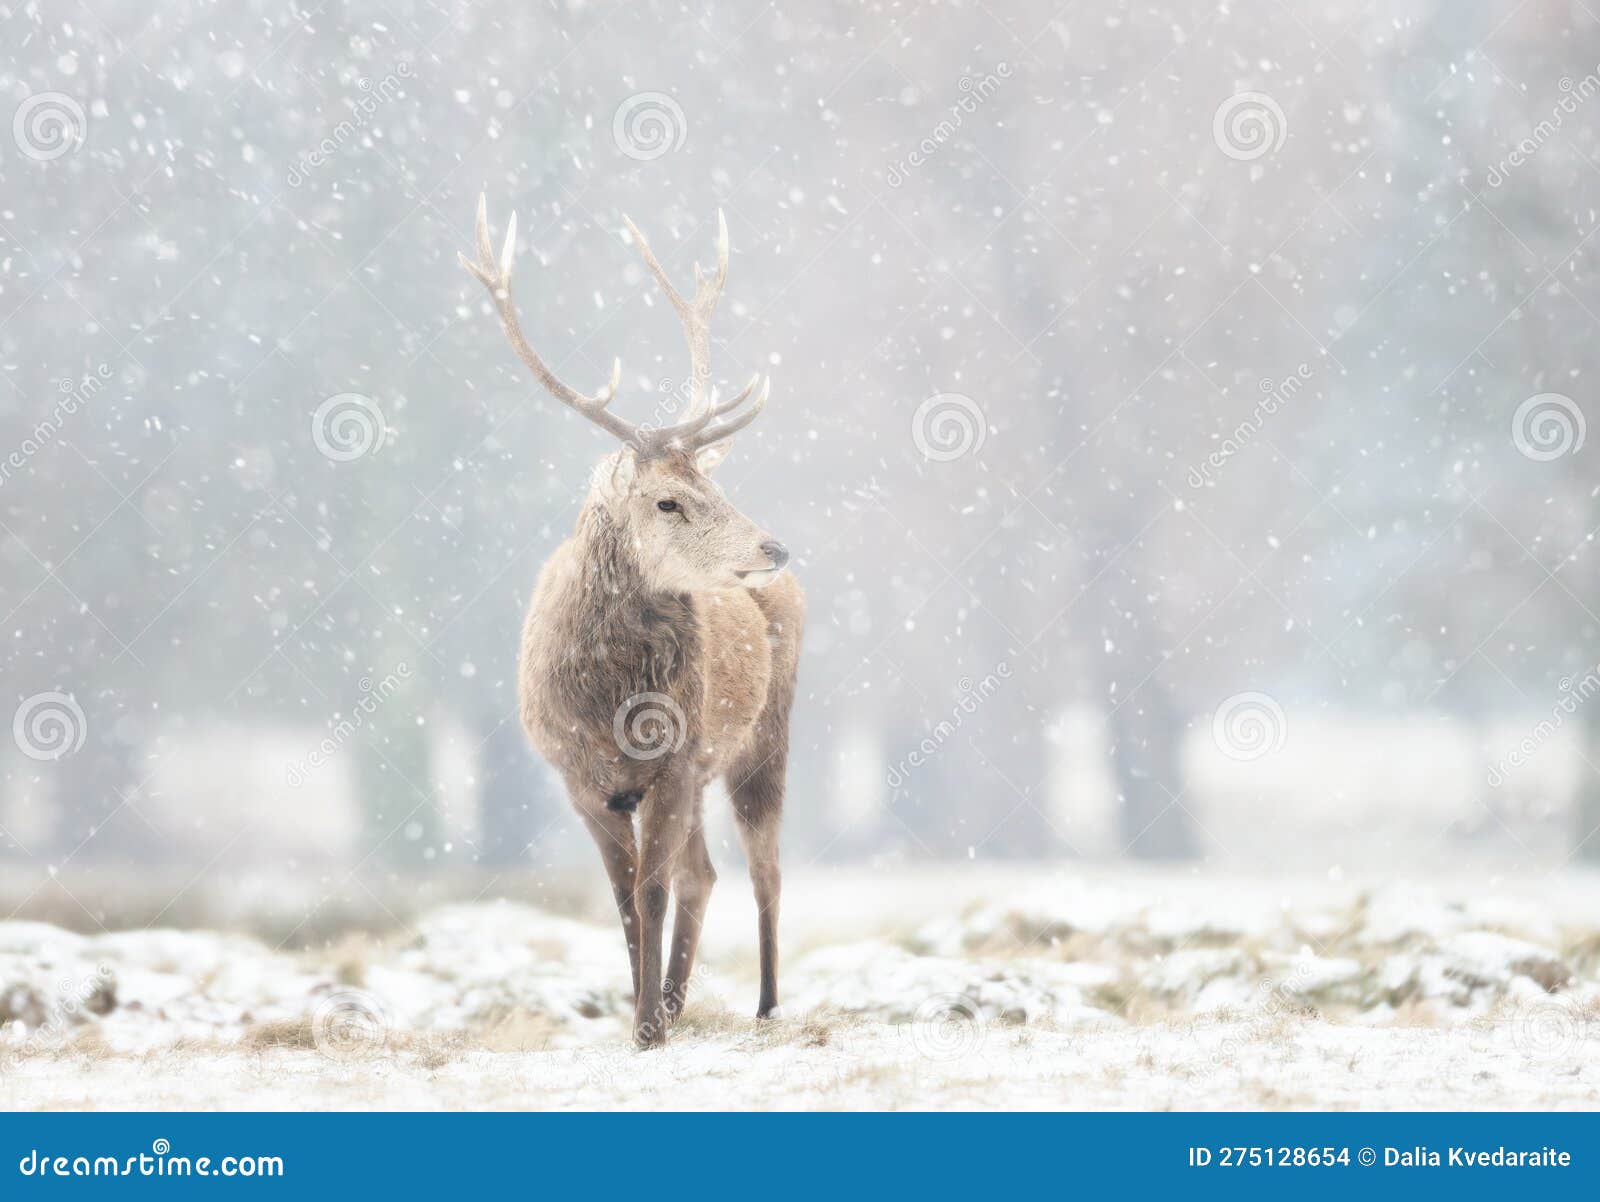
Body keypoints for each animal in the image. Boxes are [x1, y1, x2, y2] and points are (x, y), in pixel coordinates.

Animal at [459, 196, 803, 1048]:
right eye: (667, 500)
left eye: (713, 487)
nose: (774, 548)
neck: (614, 705)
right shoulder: (579, 780)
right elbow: (623, 898)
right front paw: (643, 1016)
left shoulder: (674, 764)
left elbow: (651, 889)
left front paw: (647, 1025)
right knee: (705, 871)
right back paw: (678, 998)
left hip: (763, 735)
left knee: (762, 867)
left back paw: (765, 1003)